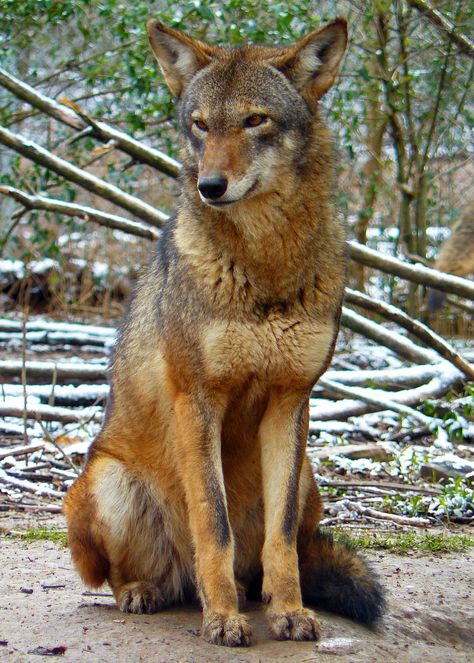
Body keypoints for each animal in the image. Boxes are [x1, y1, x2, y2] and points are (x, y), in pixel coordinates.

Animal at [65, 18, 386, 644]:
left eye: (255, 120)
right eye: (200, 125)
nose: (211, 186)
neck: (265, 261)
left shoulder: (290, 402)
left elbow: (280, 540)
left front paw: (288, 612)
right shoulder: (198, 400)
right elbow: (212, 526)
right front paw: (222, 620)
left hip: (308, 475)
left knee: (270, 555)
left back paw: (248, 594)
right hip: (104, 484)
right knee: (122, 576)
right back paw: (149, 591)